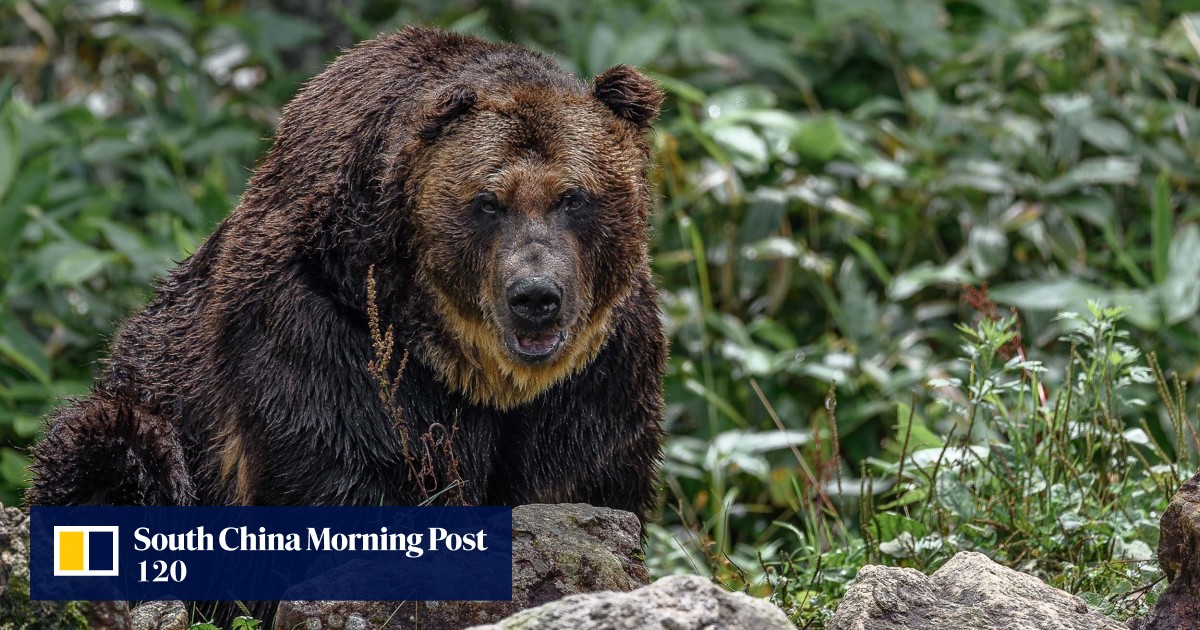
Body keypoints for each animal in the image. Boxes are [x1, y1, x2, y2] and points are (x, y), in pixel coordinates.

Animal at [25, 26, 666, 622]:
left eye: (572, 197)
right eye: (488, 202)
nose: (535, 297)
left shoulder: (599, 370)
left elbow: (580, 483)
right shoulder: (323, 331)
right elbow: (344, 480)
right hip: (155, 402)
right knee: (120, 453)